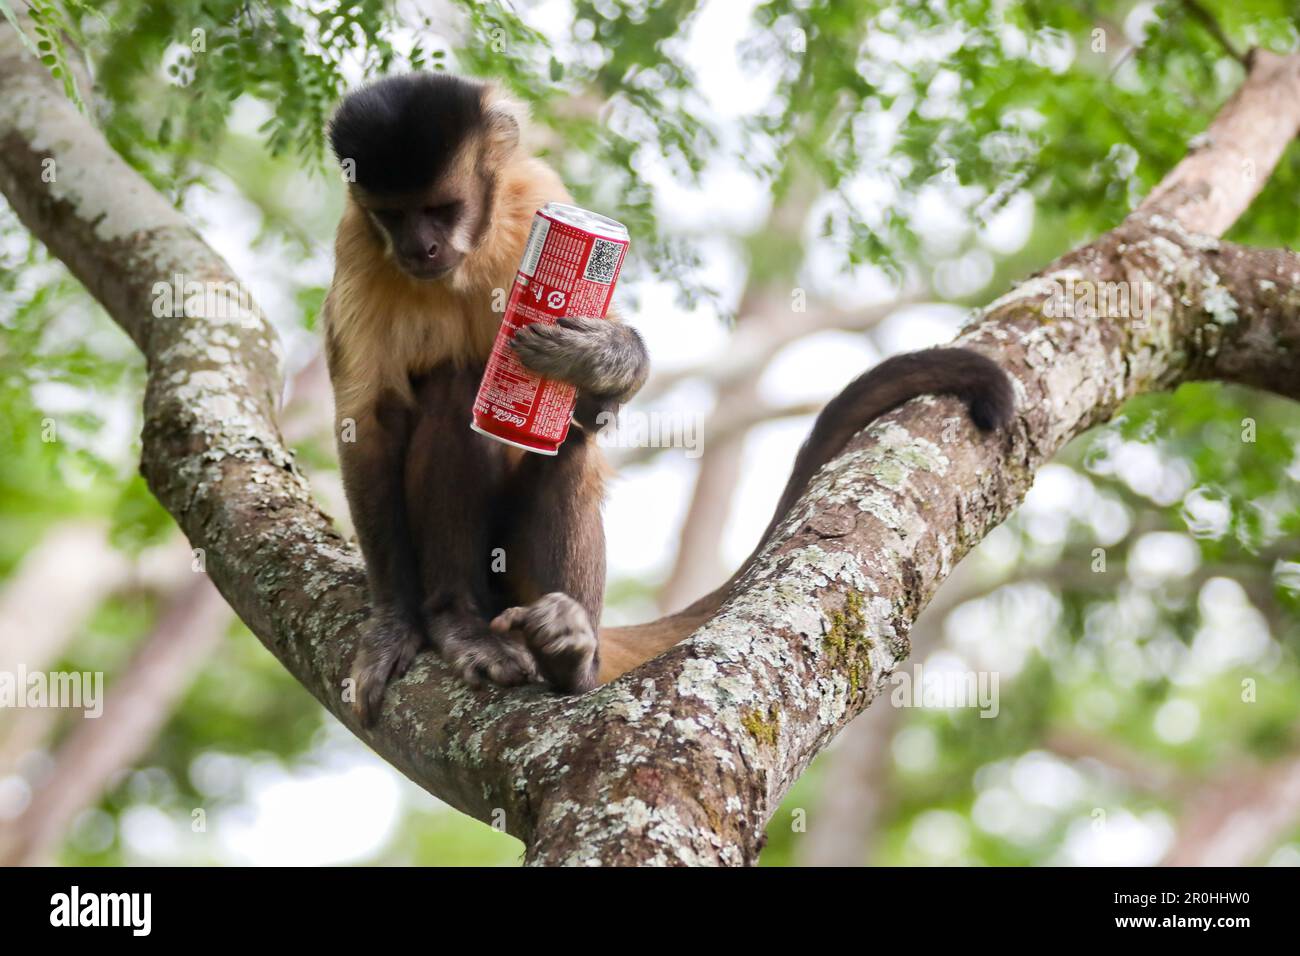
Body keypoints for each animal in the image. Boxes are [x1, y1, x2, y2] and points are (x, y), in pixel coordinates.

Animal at [321, 72, 1015, 726]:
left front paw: (605, 357)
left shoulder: (536, 193)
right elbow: (369, 425)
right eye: (394, 216)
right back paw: (455, 618)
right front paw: (393, 624)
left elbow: (588, 410)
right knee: (453, 389)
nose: (419, 247)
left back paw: (570, 659)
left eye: (441, 209)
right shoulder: (358, 246)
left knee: (561, 446)